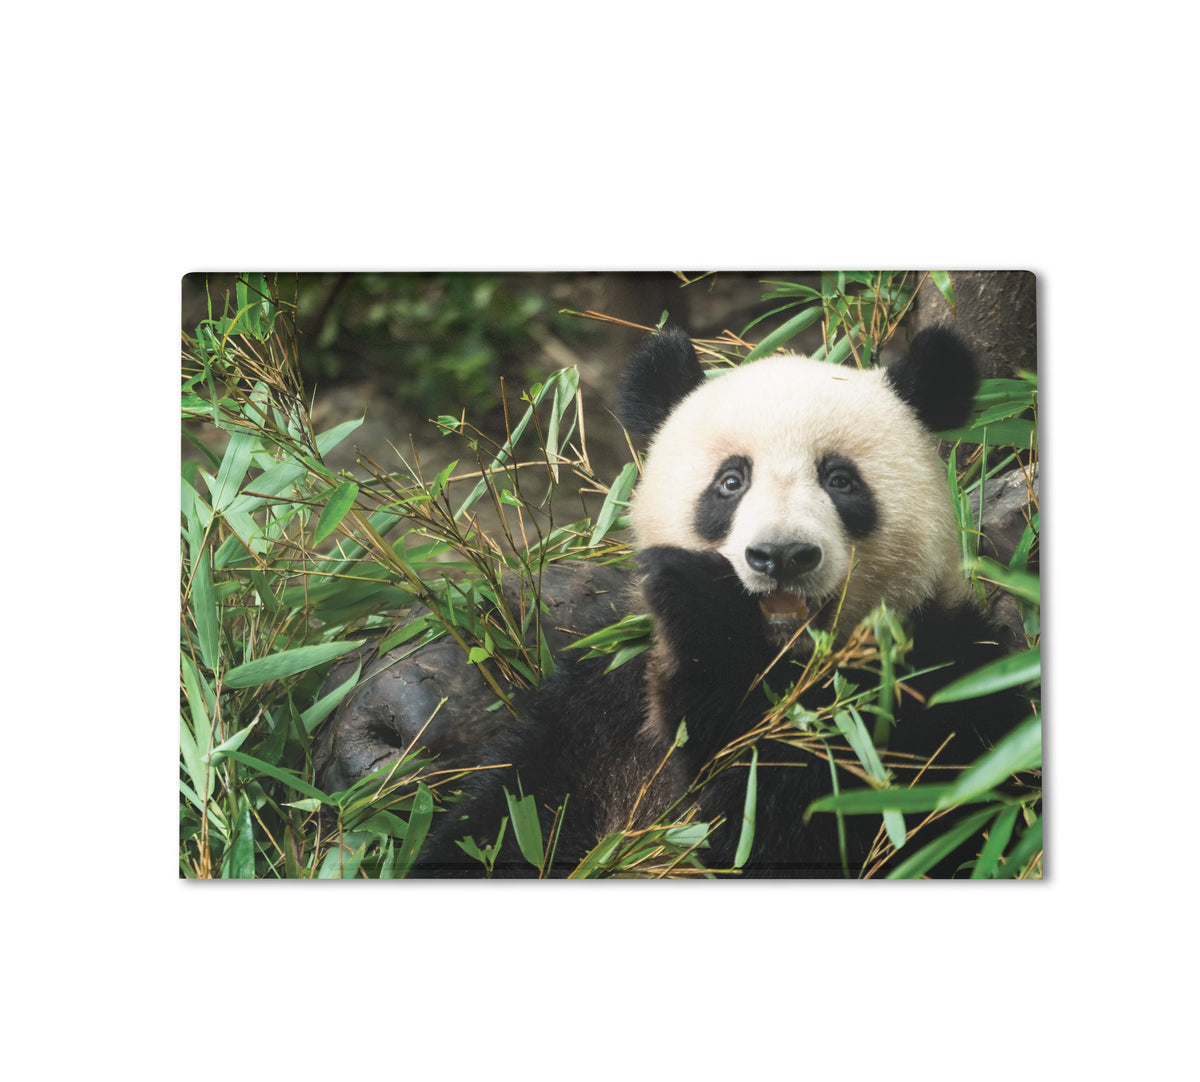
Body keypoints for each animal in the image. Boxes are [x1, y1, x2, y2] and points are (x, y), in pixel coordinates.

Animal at [415, 326, 1029, 878]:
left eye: (841, 480)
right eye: (731, 482)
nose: (781, 556)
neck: (784, 656)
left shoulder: (931, 689)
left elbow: (792, 815)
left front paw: (706, 611)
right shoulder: (601, 705)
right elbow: (513, 819)